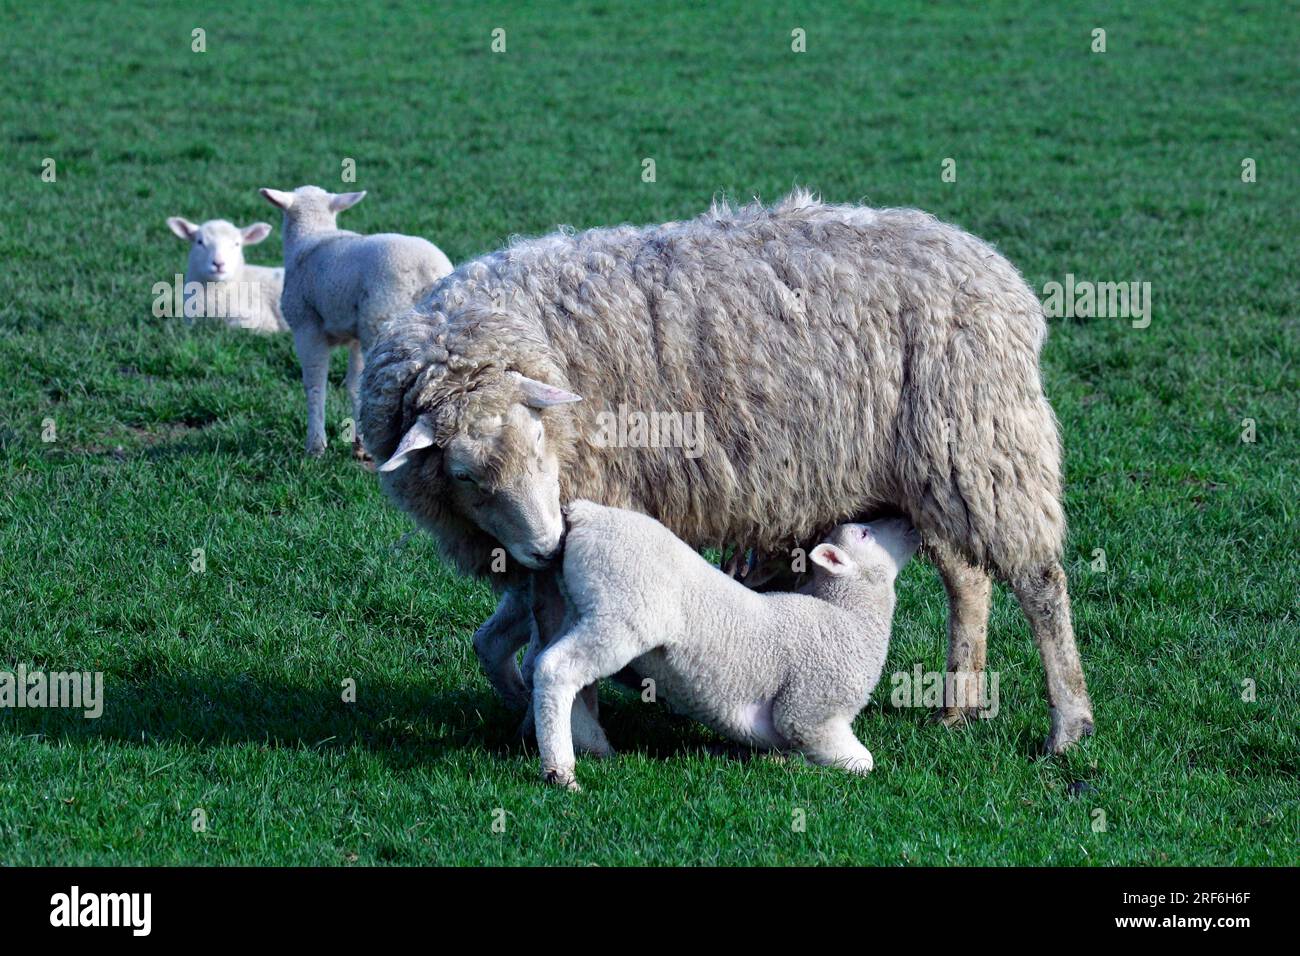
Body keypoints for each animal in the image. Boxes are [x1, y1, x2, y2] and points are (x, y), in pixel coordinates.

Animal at [259, 185, 453, 459]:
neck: (313, 236)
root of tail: (429, 271)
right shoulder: (353, 334)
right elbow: (353, 383)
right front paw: (357, 439)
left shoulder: (307, 328)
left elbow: (315, 383)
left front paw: (316, 445)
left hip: (380, 319)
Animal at [361, 189, 1095, 755]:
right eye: (462, 473)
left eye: (541, 438)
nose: (544, 544)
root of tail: (993, 268)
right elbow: (532, 630)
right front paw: (550, 721)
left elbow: (555, 631)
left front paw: (584, 735)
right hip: (930, 468)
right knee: (968, 581)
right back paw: (957, 705)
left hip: (985, 442)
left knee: (1039, 582)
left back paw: (1068, 725)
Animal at [532, 503, 919, 790]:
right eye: (864, 534)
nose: (908, 521)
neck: (849, 616)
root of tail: (586, 513)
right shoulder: (808, 712)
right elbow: (862, 763)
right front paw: (795, 764)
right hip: (620, 617)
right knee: (555, 669)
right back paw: (561, 771)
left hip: (581, 609)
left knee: (549, 670)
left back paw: (593, 746)